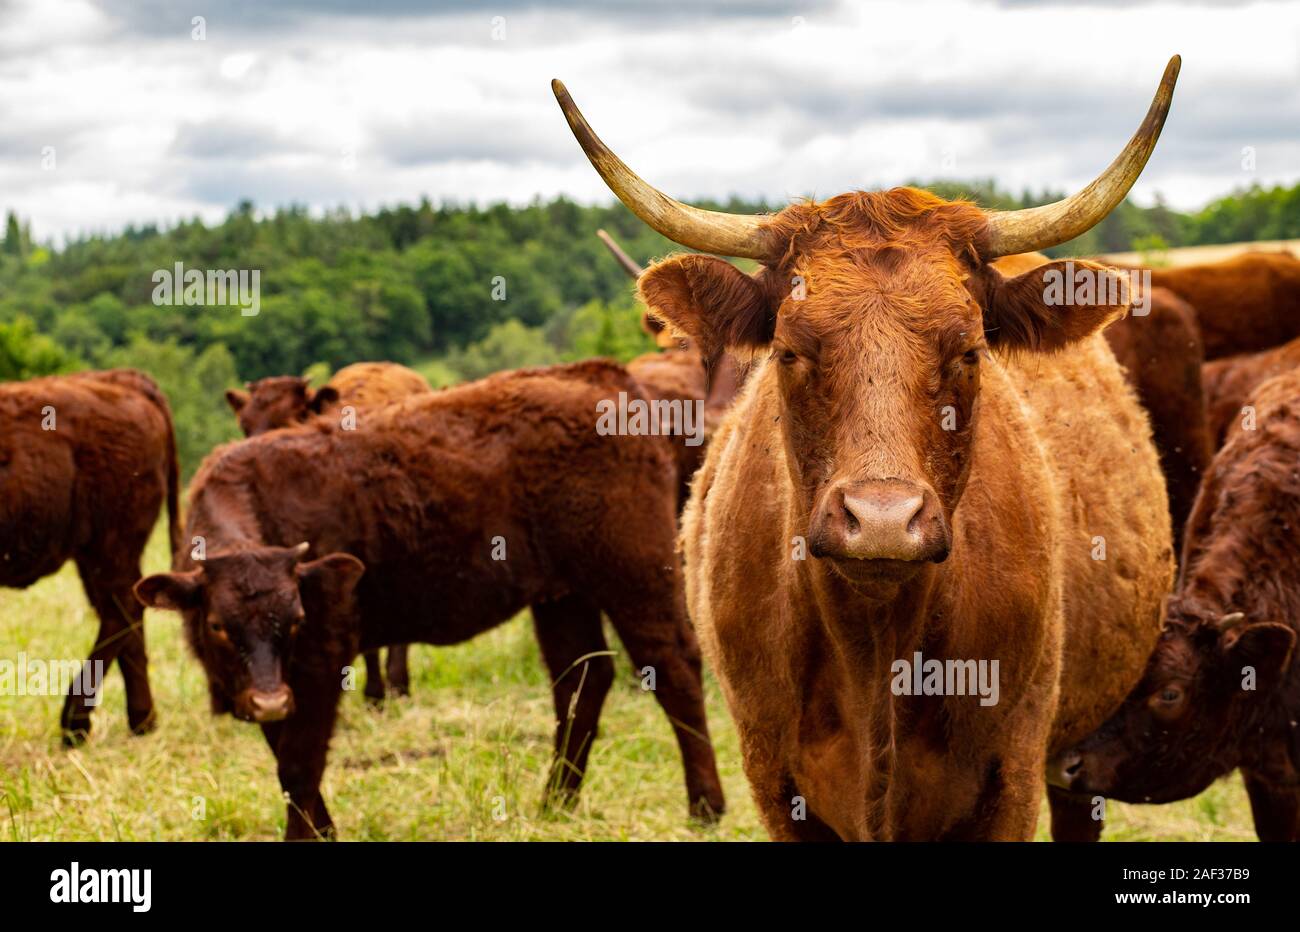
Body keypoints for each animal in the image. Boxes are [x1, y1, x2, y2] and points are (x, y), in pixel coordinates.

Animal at [1, 369, 179, 744]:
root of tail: (119, 378)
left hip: (111, 545)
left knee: (121, 610)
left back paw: (76, 721)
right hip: (97, 553)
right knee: (125, 613)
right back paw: (142, 721)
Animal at [554, 56, 1180, 840]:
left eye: (970, 351)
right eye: (789, 350)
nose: (883, 521)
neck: (876, 647)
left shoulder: (1014, 771)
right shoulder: (772, 776)